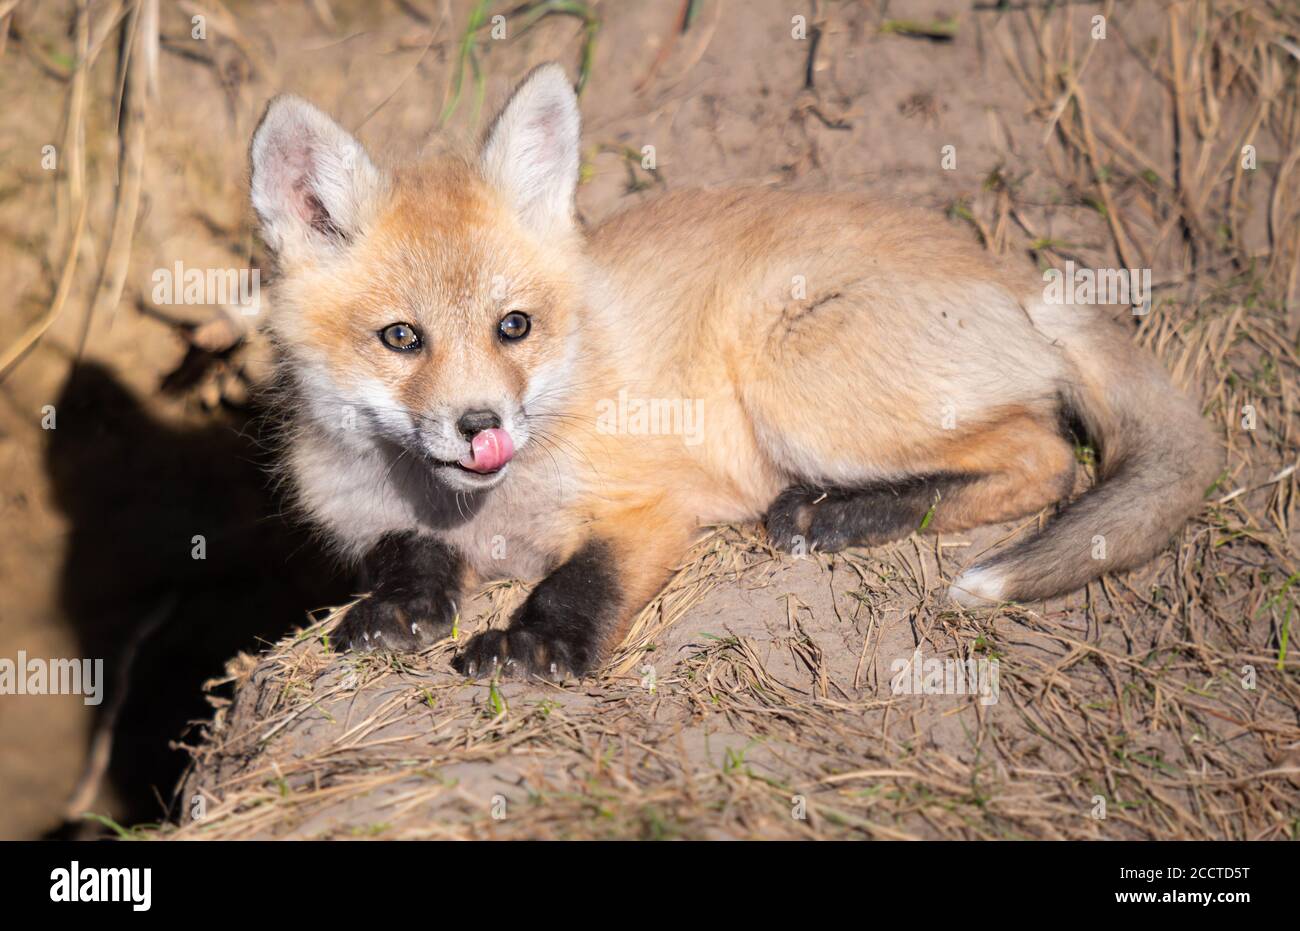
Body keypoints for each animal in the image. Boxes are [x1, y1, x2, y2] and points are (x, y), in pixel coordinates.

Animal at [248, 64, 1220, 679]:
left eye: (513, 326)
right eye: (401, 338)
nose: (482, 426)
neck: (490, 514)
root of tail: (1011, 273)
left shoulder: (651, 502)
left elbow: (583, 579)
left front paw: (536, 649)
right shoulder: (371, 521)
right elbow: (406, 554)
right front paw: (401, 604)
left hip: (792, 382)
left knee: (1044, 458)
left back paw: (840, 512)